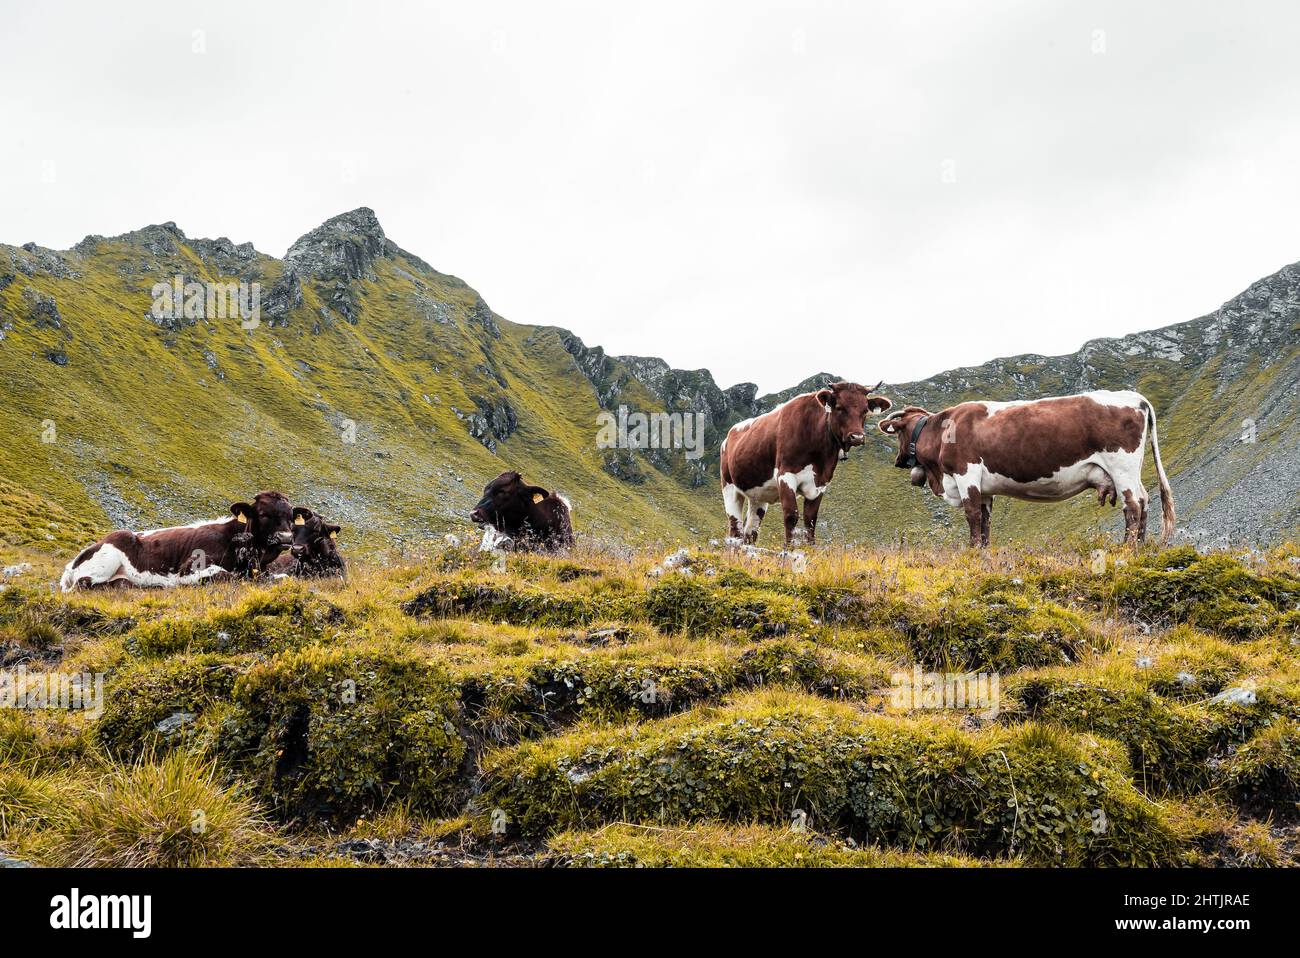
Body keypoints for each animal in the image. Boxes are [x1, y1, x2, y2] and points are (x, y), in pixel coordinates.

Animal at [59, 491, 295, 591]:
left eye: (291, 516)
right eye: (263, 514)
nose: (286, 538)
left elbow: (282, 577)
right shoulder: (189, 567)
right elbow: (224, 575)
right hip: (108, 556)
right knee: (83, 584)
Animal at [720, 380, 893, 546]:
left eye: (865, 410)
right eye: (839, 407)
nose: (857, 437)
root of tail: (729, 435)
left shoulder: (820, 483)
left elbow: (810, 520)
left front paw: (810, 549)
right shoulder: (785, 475)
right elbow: (791, 516)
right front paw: (789, 550)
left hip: (758, 495)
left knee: (751, 532)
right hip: (729, 487)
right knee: (735, 527)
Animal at [878, 390, 1175, 547]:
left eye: (897, 433)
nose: (898, 461)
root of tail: (1134, 397)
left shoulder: (966, 474)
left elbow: (972, 516)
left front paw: (972, 550)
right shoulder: (985, 489)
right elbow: (985, 521)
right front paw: (982, 551)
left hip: (1121, 467)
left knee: (1132, 505)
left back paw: (1127, 548)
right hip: (1131, 471)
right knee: (1144, 501)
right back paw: (1140, 547)